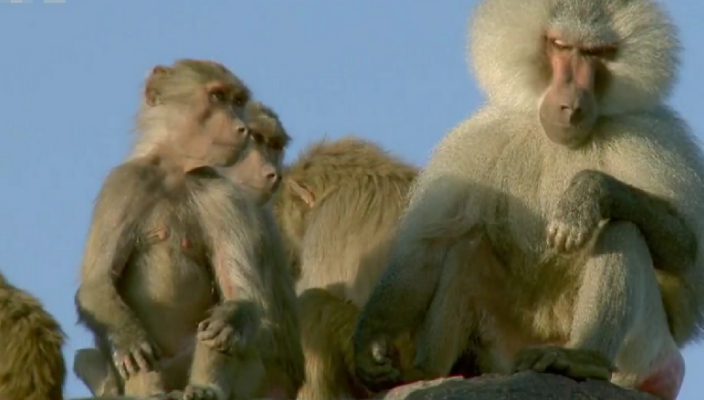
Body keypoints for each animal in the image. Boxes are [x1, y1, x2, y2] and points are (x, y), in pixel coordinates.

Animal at [72, 58, 303, 400]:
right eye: (217, 97)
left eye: (237, 101)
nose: (241, 129)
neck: (175, 174)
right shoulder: (124, 183)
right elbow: (97, 284)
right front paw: (129, 337)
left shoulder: (224, 197)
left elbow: (240, 296)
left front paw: (230, 319)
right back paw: (149, 391)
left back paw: (205, 385)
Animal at [352, 2, 704, 400]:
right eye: (561, 46)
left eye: (594, 53)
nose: (571, 103)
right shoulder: (483, 140)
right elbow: (429, 247)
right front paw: (370, 342)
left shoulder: (651, 138)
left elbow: (685, 246)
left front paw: (586, 195)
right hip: (507, 348)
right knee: (467, 248)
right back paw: (424, 373)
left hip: (642, 353)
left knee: (624, 229)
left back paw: (580, 358)